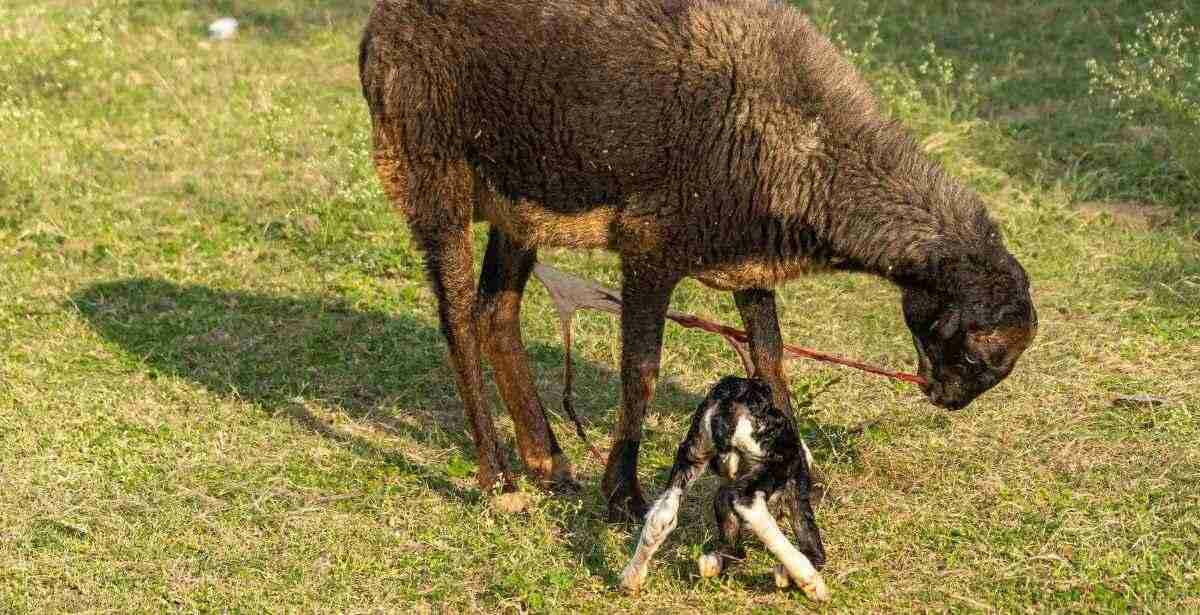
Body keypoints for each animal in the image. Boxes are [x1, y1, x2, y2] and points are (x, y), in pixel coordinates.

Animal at [358, 0, 1038, 521]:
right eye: (976, 354)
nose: (948, 400)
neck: (809, 145)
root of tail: (382, 24)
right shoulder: (650, 252)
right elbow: (641, 371)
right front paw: (624, 495)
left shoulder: (750, 266)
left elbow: (770, 359)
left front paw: (800, 475)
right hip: (434, 175)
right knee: (458, 320)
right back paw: (498, 479)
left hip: (518, 202)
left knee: (496, 313)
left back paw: (546, 460)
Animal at [620, 376, 828, 600]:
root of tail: (730, 402)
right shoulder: (795, 488)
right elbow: (814, 549)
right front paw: (799, 577)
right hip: (771, 463)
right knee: (747, 501)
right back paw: (811, 580)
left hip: (694, 450)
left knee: (662, 515)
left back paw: (632, 578)